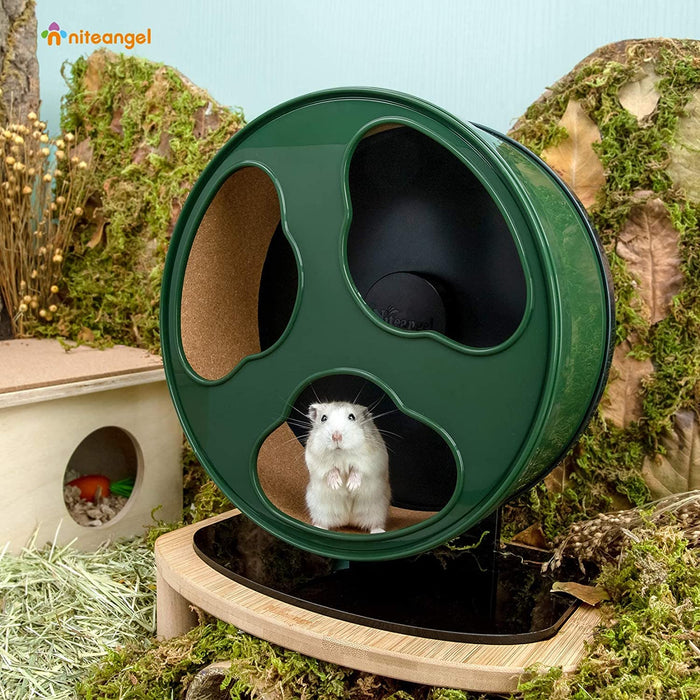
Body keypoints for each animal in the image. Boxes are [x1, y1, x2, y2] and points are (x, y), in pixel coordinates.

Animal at [304, 401, 390, 533]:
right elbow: (330, 470)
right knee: (323, 522)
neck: (341, 453)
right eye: (323, 418)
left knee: (375, 524)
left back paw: (378, 531)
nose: (336, 436)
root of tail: (349, 520)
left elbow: (357, 470)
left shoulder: (370, 460)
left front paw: (351, 486)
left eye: (352, 417)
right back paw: (319, 527)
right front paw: (337, 485)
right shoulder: (315, 460)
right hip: (319, 508)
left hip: (377, 510)